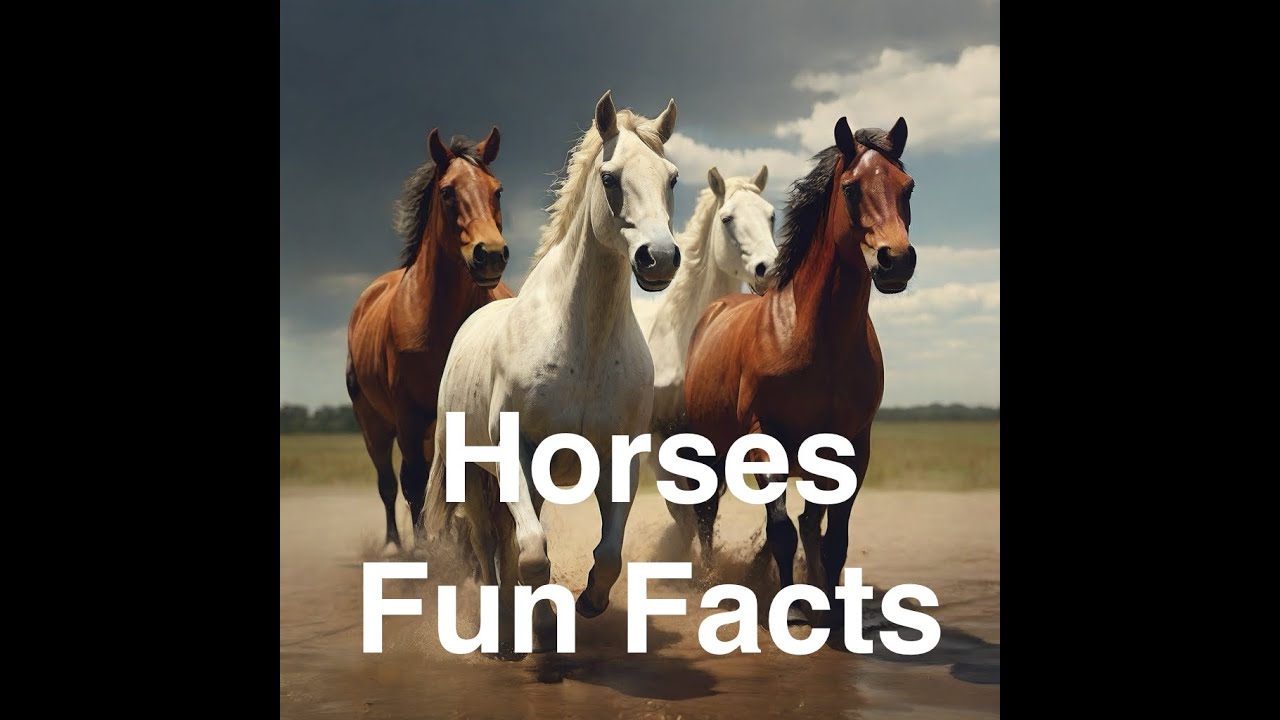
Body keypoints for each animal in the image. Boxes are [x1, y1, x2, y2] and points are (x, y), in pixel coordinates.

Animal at [346, 127, 514, 552]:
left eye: (498, 190)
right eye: (447, 191)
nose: (490, 255)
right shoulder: (408, 418)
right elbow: (414, 485)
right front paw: (427, 551)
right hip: (374, 424)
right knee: (391, 484)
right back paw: (395, 544)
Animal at [424, 90, 680, 653]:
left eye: (672, 177)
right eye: (609, 177)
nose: (659, 258)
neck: (580, 346)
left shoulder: (619, 460)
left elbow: (606, 553)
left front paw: (588, 603)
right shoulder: (514, 455)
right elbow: (532, 553)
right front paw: (534, 626)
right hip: (473, 477)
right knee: (488, 546)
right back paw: (500, 630)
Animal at [681, 116, 917, 625]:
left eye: (907, 186)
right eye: (850, 188)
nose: (896, 260)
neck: (816, 340)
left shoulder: (852, 448)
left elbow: (831, 537)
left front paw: (829, 608)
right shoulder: (763, 439)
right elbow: (782, 531)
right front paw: (790, 611)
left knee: (807, 523)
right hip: (712, 450)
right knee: (706, 514)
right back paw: (709, 580)